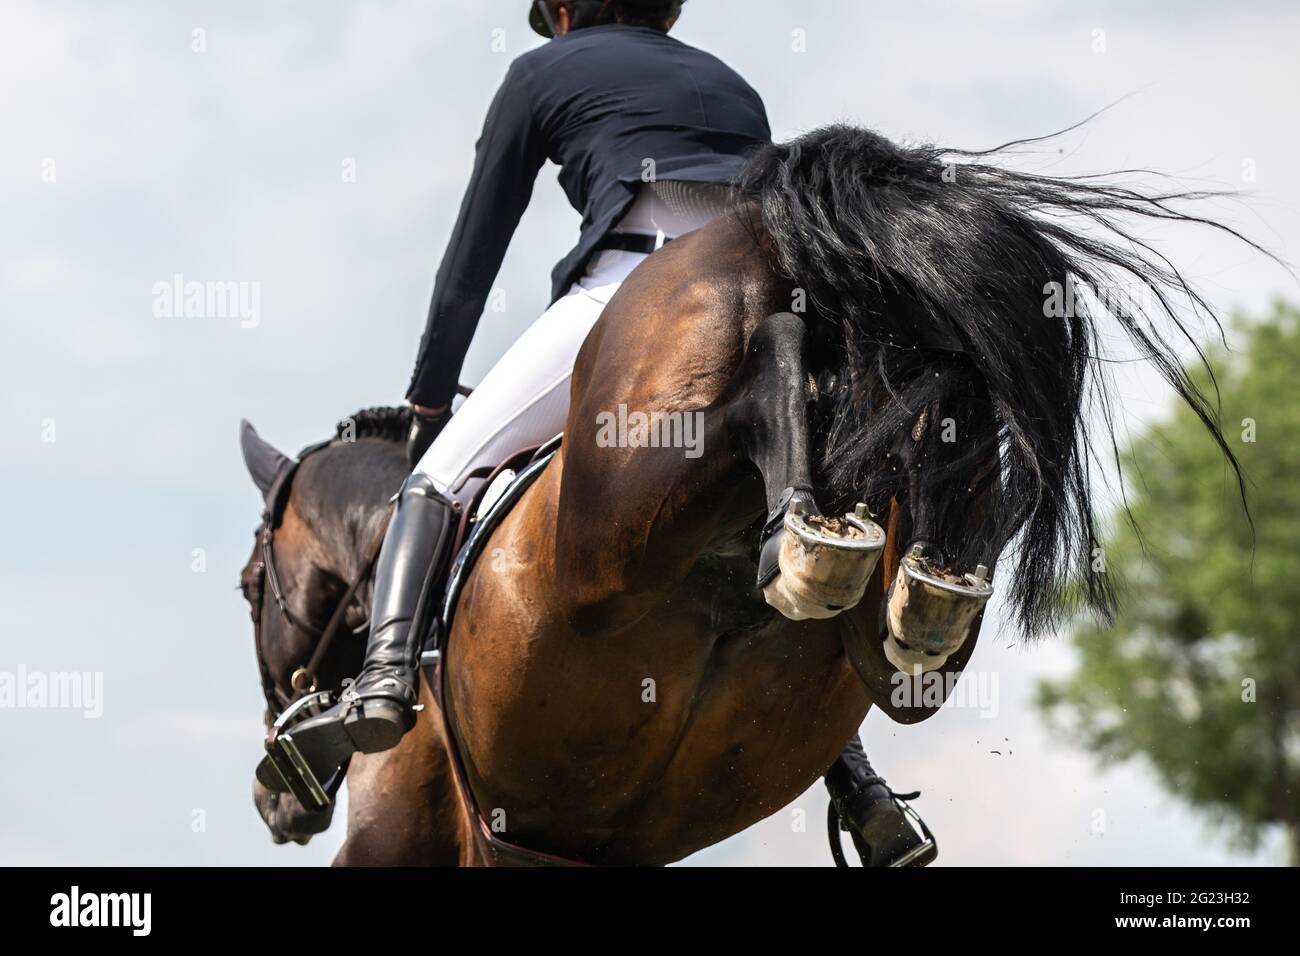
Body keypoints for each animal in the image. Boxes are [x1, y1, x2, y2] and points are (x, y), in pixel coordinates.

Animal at [242, 124, 1256, 865]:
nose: (276, 801)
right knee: (914, 585)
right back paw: (919, 560)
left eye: (252, 587)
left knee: (769, 371)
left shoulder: (401, 836)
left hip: (611, 546)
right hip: (893, 658)